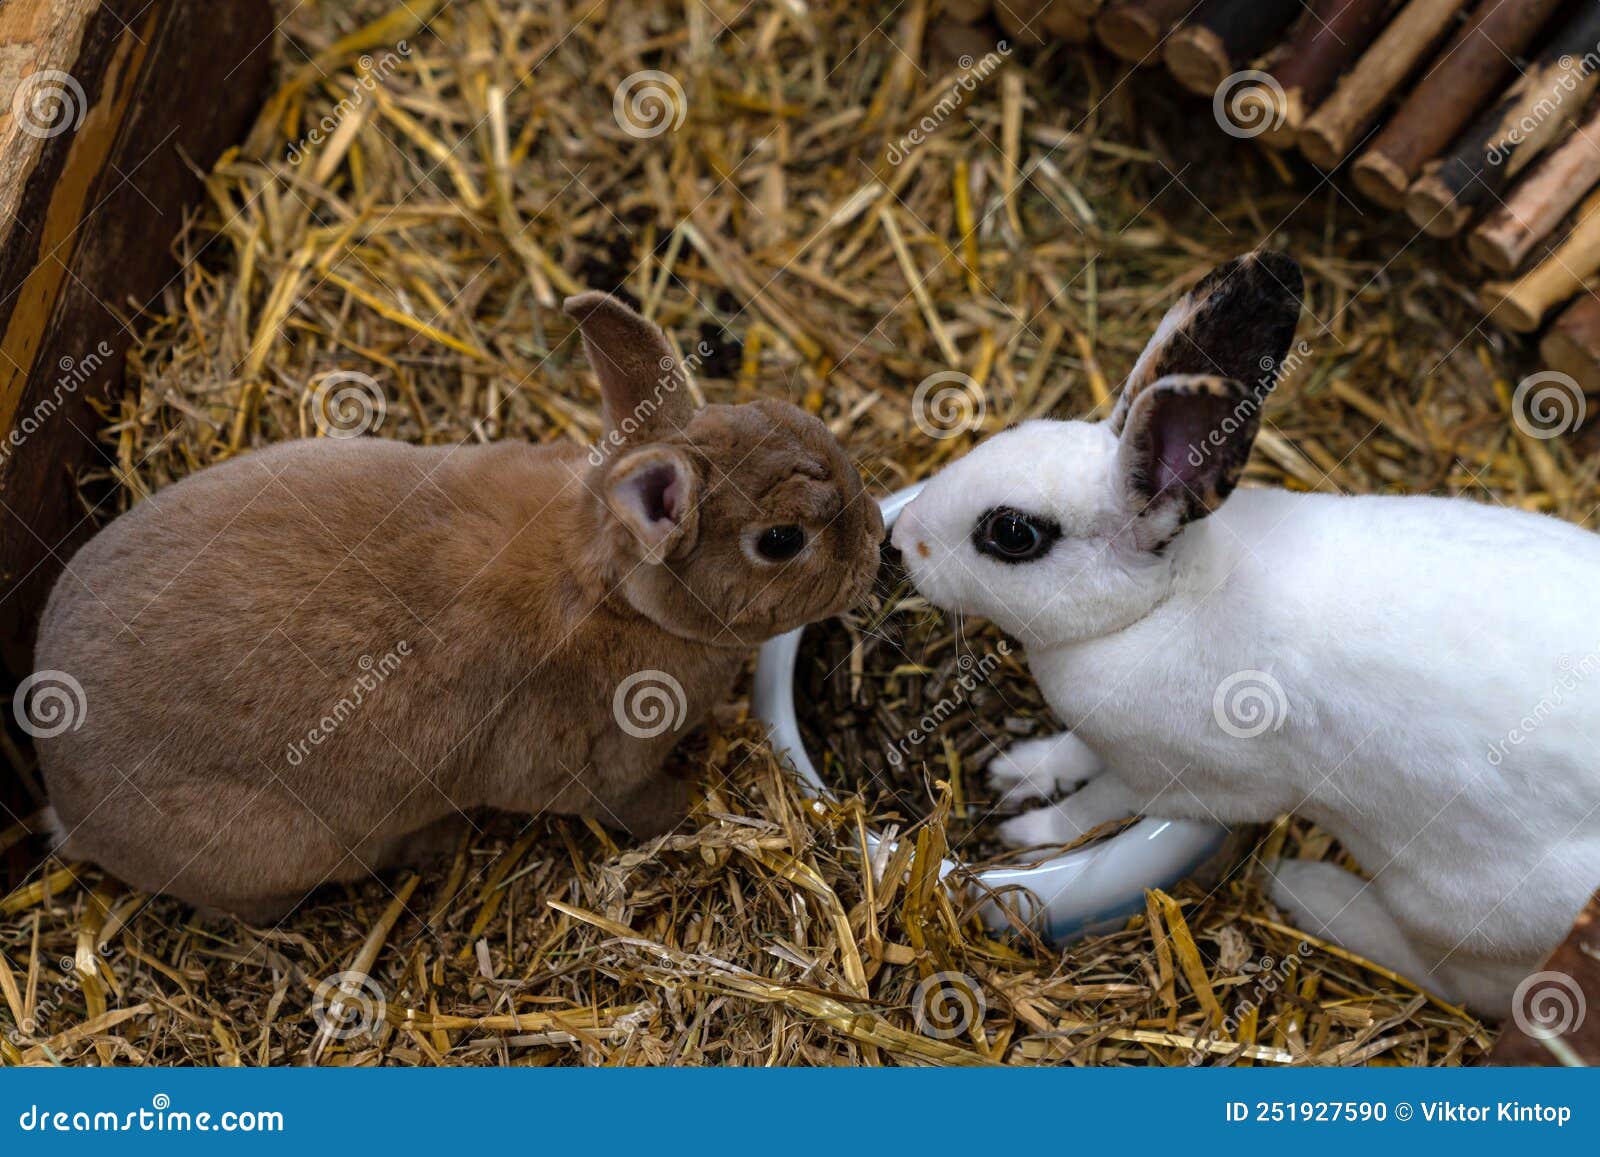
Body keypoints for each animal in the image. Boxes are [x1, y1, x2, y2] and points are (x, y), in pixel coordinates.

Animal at [30, 292, 883, 922]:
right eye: (781, 540)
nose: (877, 537)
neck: (617, 589)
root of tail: (64, 794)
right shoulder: (598, 771)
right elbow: (636, 804)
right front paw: (689, 800)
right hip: (283, 847)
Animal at [890, 251, 1600, 1015]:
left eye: (1013, 533)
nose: (899, 541)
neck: (1168, 601)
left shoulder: (1172, 782)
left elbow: (1088, 808)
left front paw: (1022, 837)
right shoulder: (1104, 739)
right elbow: (1071, 752)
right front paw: (1017, 769)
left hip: (1458, 905)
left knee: (1459, 979)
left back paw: (1304, 887)